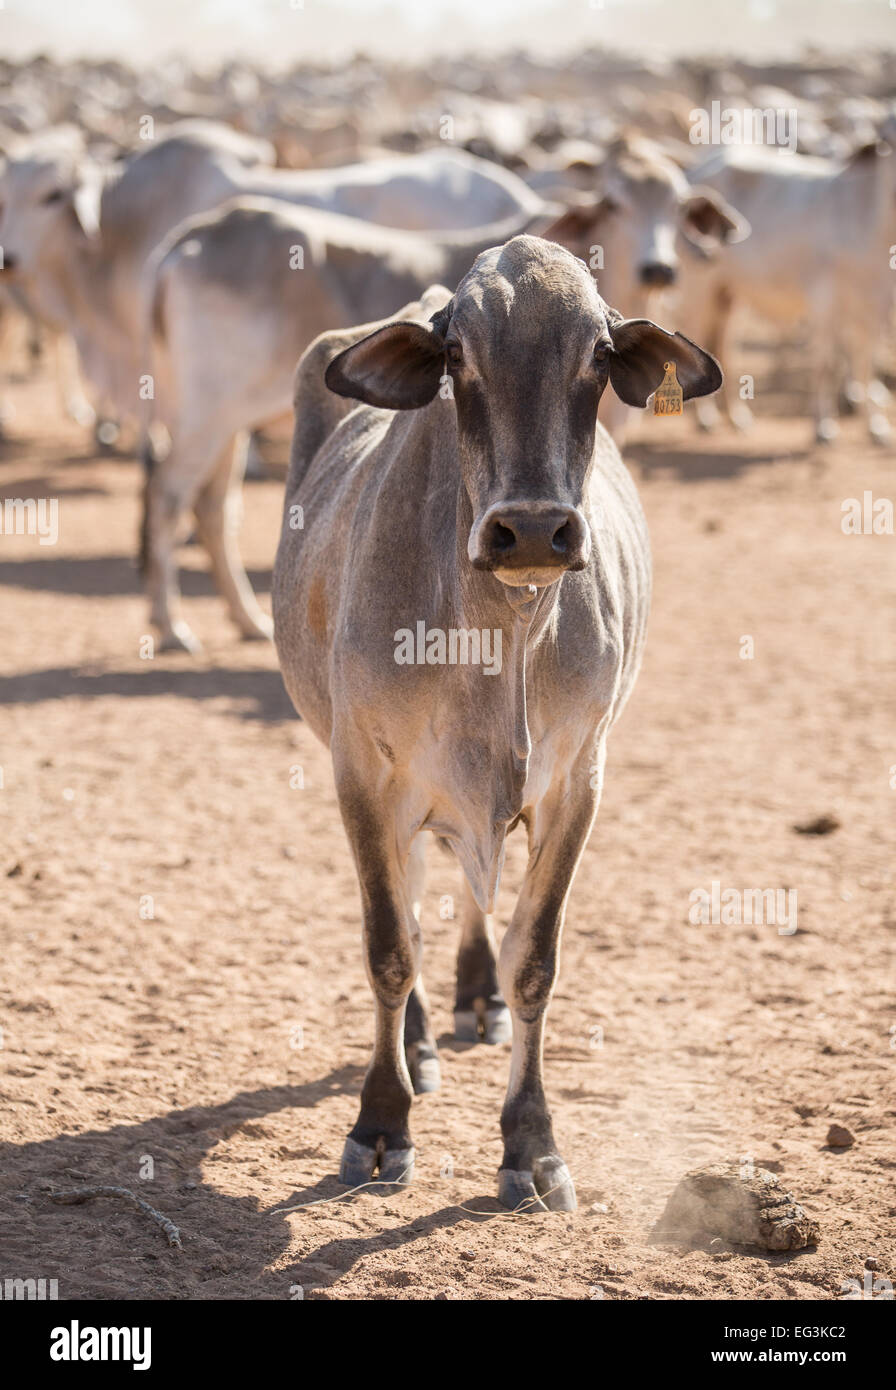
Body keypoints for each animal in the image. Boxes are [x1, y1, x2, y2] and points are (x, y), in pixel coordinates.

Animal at [272, 236, 722, 1209]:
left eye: (599, 355)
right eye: (455, 358)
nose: (534, 529)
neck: (497, 635)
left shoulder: (577, 780)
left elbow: (534, 959)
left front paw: (531, 1145)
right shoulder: (363, 773)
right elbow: (389, 946)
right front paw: (381, 1123)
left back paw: (474, 1001)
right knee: (410, 899)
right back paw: (418, 1045)